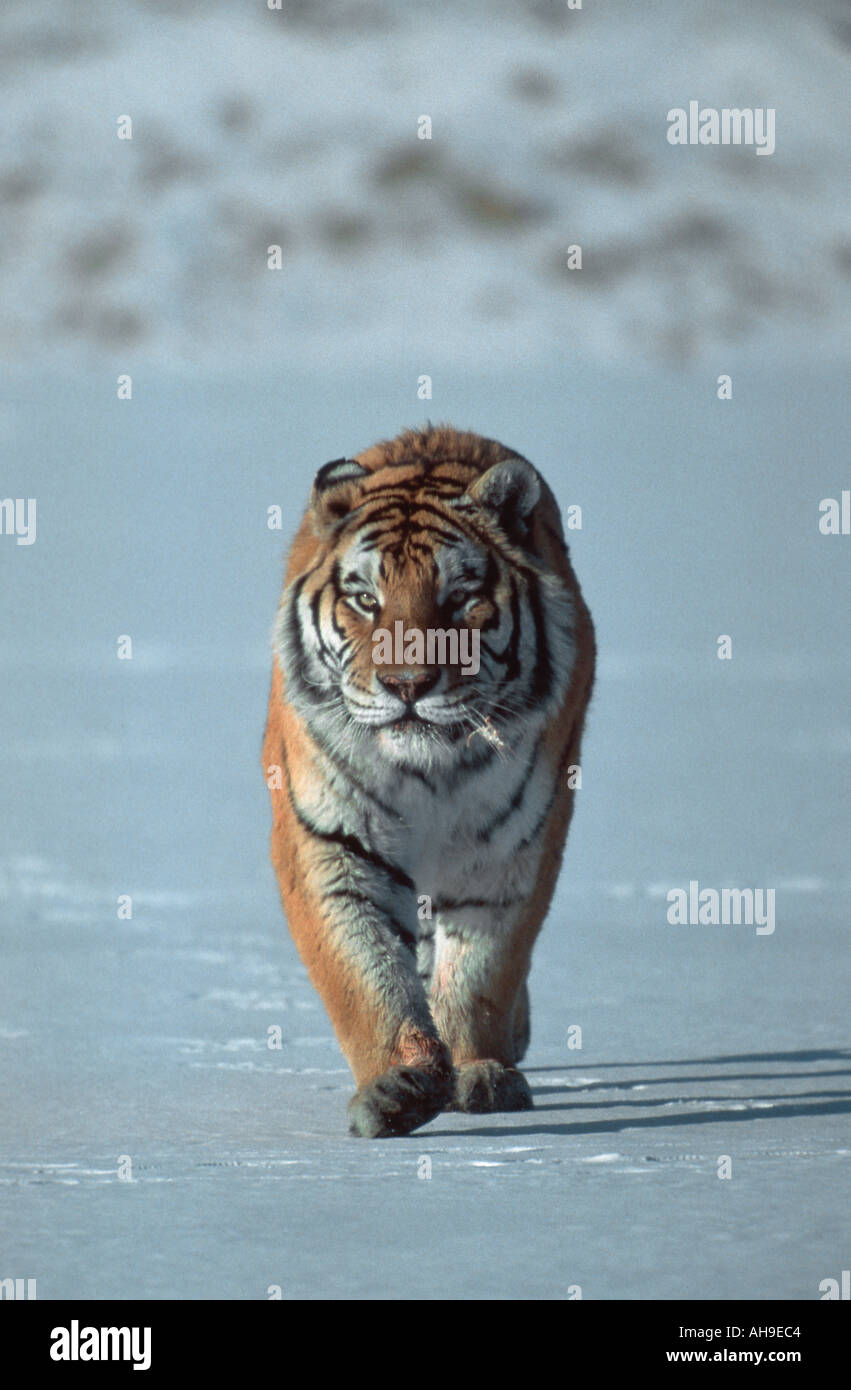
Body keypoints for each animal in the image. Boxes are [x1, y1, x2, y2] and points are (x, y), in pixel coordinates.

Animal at [263, 425, 595, 1137]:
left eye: (460, 601)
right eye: (366, 599)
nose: (407, 685)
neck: (429, 773)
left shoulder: (509, 850)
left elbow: (480, 972)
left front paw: (480, 1073)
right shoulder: (331, 845)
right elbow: (364, 974)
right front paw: (398, 1086)